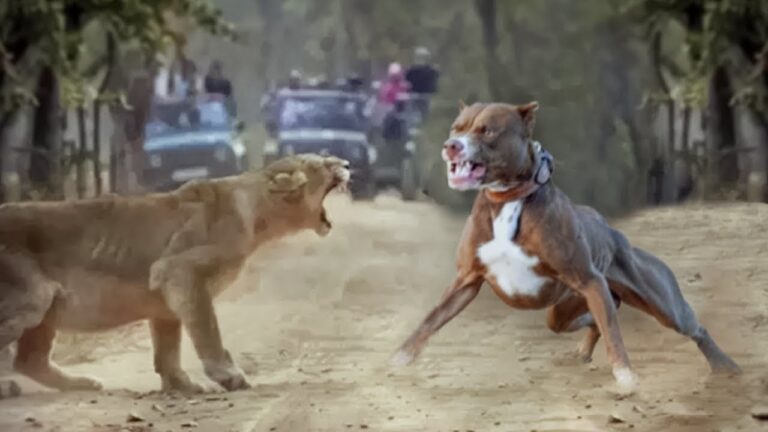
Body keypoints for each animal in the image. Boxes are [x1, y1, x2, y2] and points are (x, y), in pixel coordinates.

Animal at [0, 154, 350, 396]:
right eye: (323, 163)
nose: (346, 163)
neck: (257, 213)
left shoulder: (164, 297)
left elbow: (168, 349)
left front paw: (183, 385)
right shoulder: (179, 270)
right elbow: (208, 330)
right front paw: (228, 375)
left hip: (47, 307)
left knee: (30, 360)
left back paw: (82, 383)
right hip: (33, 297)